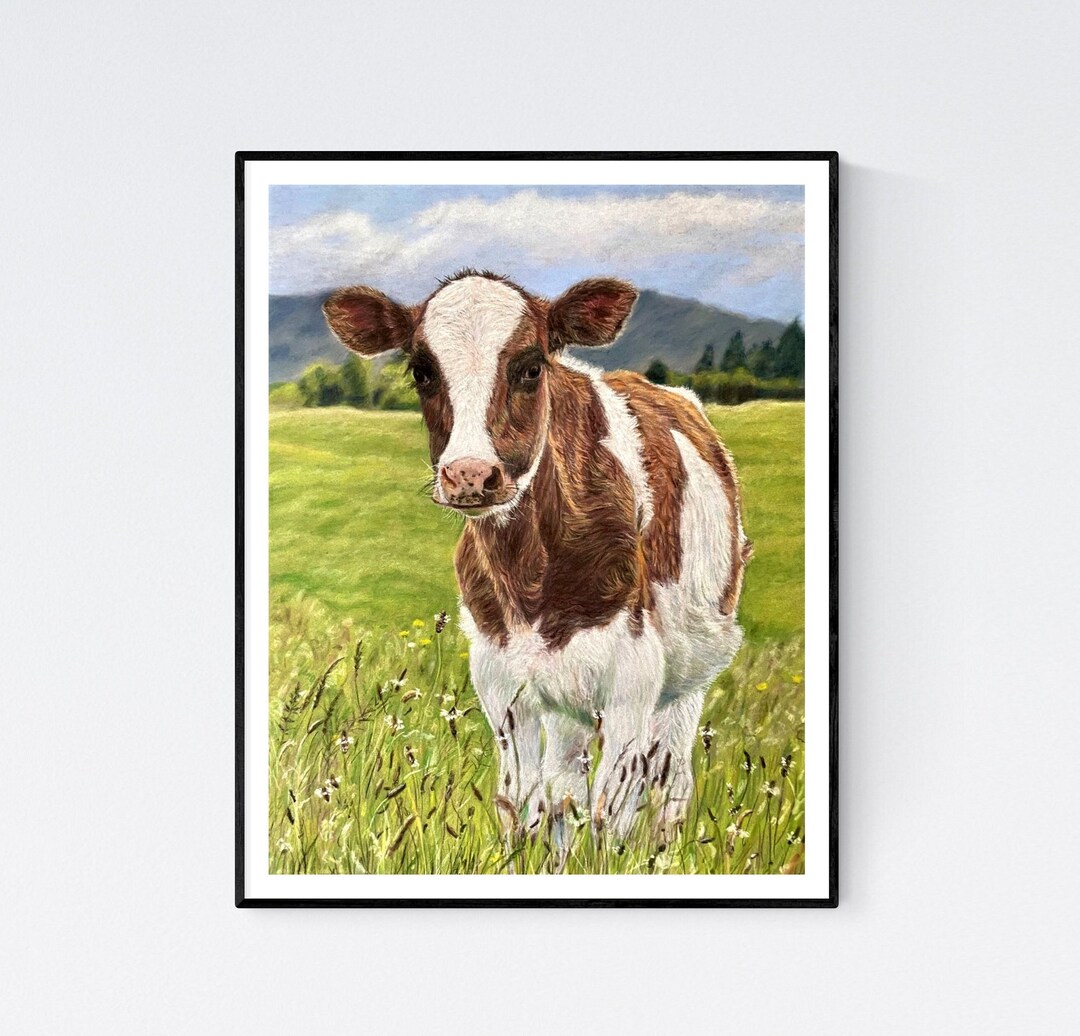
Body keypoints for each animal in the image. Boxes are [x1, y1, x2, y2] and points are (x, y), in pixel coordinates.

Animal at [324, 270, 750, 841]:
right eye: (422, 371)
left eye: (531, 368)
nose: (469, 475)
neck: (529, 573)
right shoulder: (500, 678)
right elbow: (520, 800)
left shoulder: (633, 676)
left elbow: (611, 811)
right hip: (565, 696)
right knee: (563, 784)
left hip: (688, 676)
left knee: (670, 779)